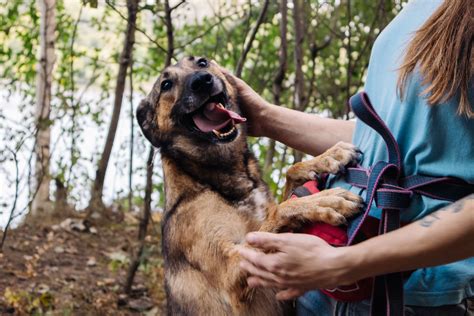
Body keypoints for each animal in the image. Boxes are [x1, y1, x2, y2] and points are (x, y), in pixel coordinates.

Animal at [137, 57, 362, 316]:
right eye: (165, 85)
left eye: (202, 62)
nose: (202, 81)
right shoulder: (232, 272)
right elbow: (280, 210)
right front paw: (322, 200)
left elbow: (289, 174)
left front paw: (326, 158)